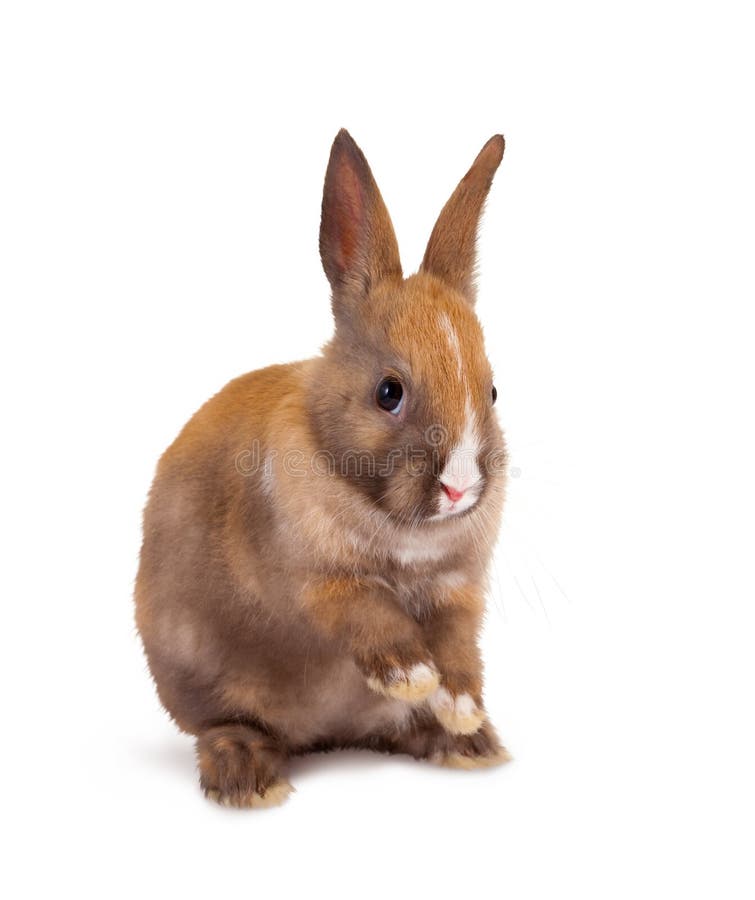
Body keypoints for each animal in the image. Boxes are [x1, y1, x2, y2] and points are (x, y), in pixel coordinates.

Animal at [135, 129, 510, 808]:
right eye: (388, 392)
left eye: (493, 391)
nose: (460, 486)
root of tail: (324, 738)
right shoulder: (321, 584)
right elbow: (372, 615)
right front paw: (412, 676)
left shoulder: (456, 591)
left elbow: (458, 648)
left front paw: (462, 709)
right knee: (229, 726)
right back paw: (248, 777)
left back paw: (467, 746)